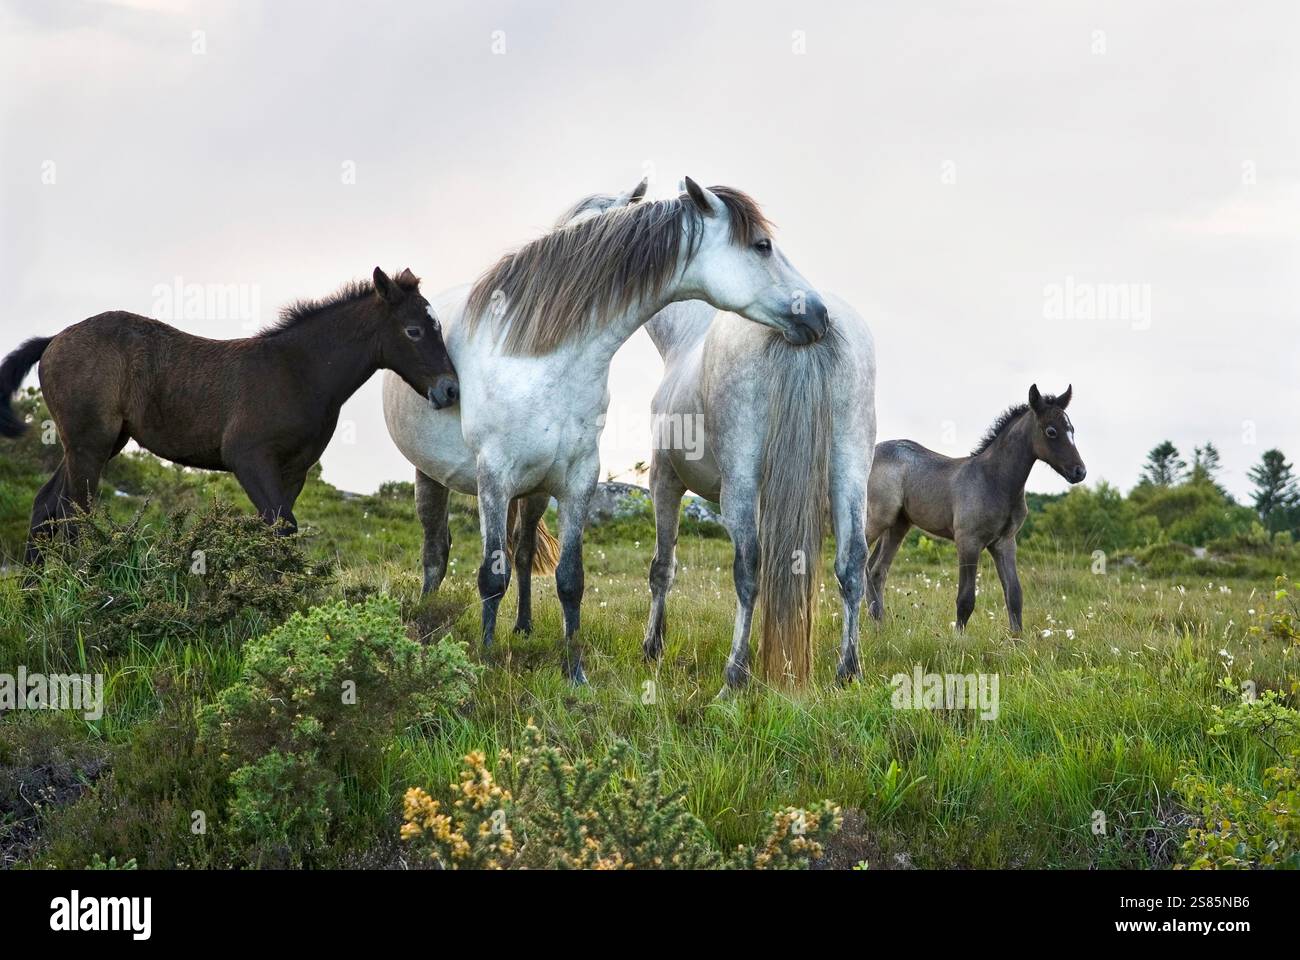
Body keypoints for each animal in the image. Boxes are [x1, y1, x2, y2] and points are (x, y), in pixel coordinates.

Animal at [0, 267, 457, 567]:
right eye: (414, 330)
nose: (451, 389)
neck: (298, 370)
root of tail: (53, 340)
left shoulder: (294, 471)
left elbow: (277, 530)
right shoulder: (248, 457)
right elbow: (282, 526)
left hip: (98, 443)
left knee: (46, 506)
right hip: (90, 443)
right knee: (74, 516)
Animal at [383, 178, 829, 685]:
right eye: (762, 245)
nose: (818, 314)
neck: (540, 357)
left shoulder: (577, 479)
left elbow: (569, 579)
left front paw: (574, 671)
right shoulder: (493, 478)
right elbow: (490, 577)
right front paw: (487, 658)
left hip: (532, 492)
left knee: (521, 551)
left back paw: (523, 627)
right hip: (431, 475)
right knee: (436, 552)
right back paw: (427, 612)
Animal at [866, 384, 1087, 635]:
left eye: (1072, 430)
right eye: (1051, 431)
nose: (1080, 471)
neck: (994, 480)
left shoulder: (1004, 542)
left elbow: (1014, 595)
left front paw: (1018, 640)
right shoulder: (968, 541)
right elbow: (966, 598)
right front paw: (958, 640)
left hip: (898, 524)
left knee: (876, 570)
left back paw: (878, 624)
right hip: (877, 518)